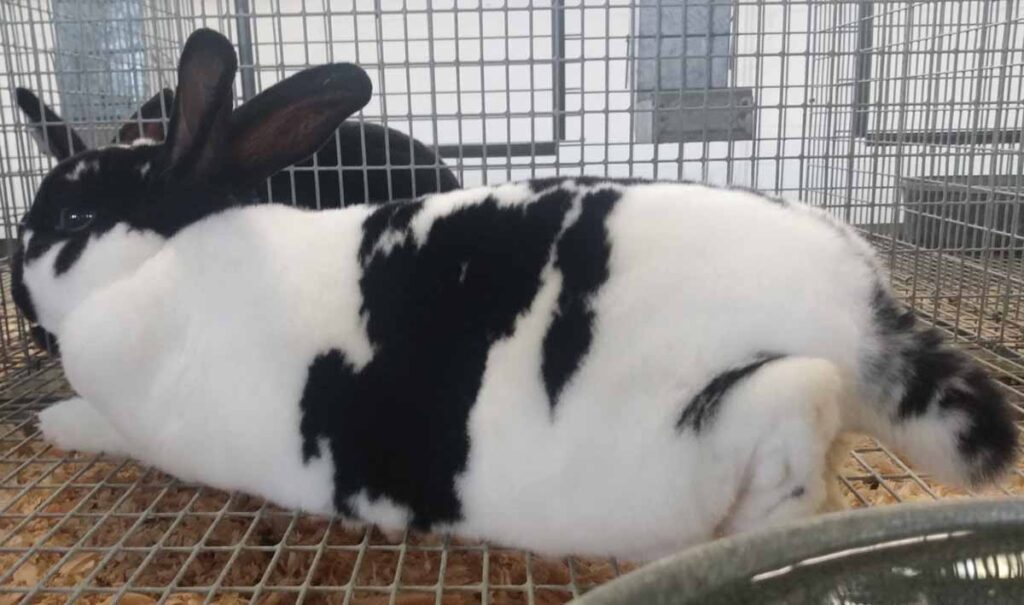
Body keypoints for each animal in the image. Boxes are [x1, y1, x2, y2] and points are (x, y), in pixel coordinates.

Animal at [12, 29, 1019, 562]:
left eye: (71, 214)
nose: (18, 286)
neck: (152, 264)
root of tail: (857, 320)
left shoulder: (141, 414)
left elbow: (100, 424)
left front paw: (52, 423)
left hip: (695, 439)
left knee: (796, 403)